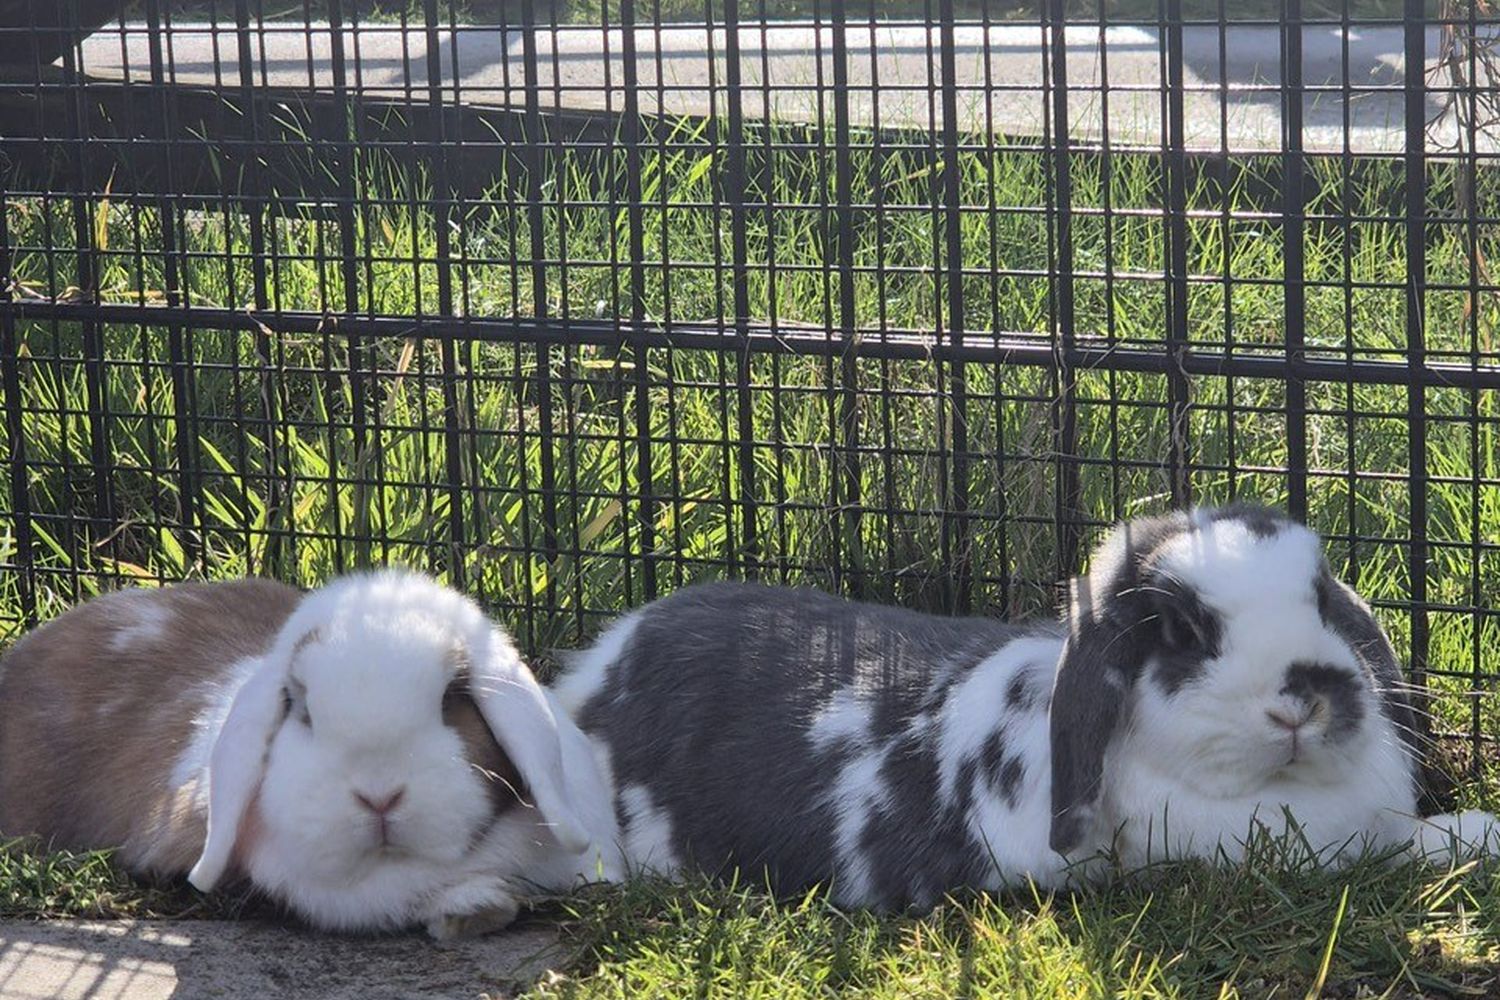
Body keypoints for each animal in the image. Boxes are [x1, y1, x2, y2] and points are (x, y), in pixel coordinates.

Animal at [554, 504, 1499, 909]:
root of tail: (588, 685)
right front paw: (1472, 837)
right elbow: (1386, 850)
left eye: (1319, 593)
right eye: (1183, 630)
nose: (1303, 697)